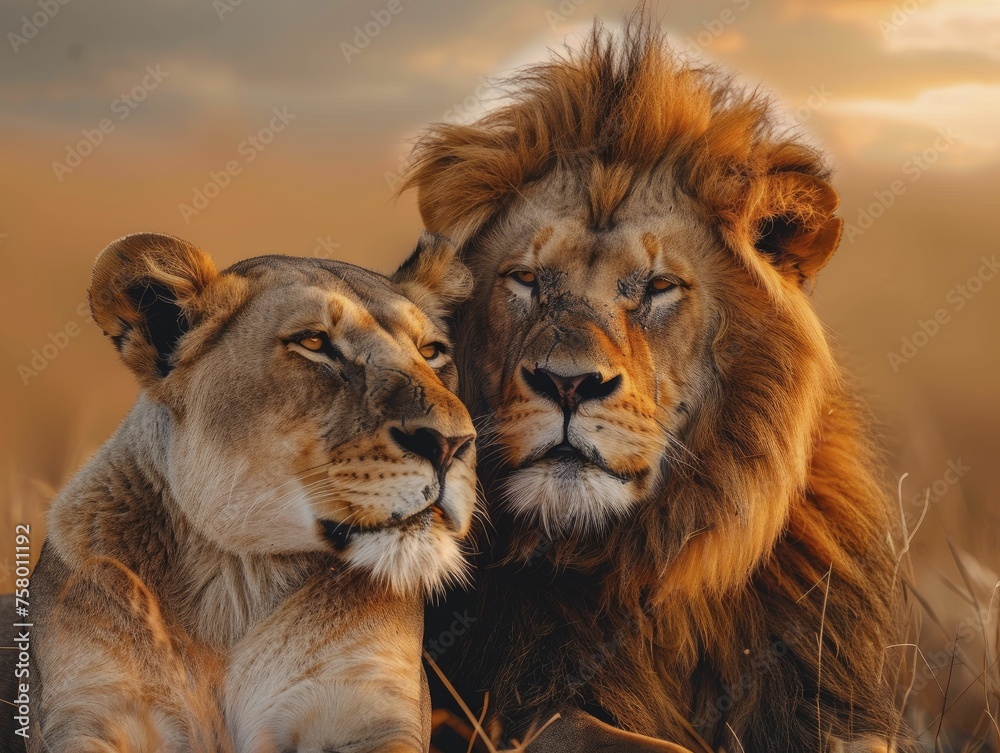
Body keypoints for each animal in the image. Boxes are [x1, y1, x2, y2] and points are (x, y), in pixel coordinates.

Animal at [25, 231, 477, 753]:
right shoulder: (86, 708)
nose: (451, 444)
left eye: (432, 351)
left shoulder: (375, 708)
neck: (235, 578)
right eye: (314, 342)